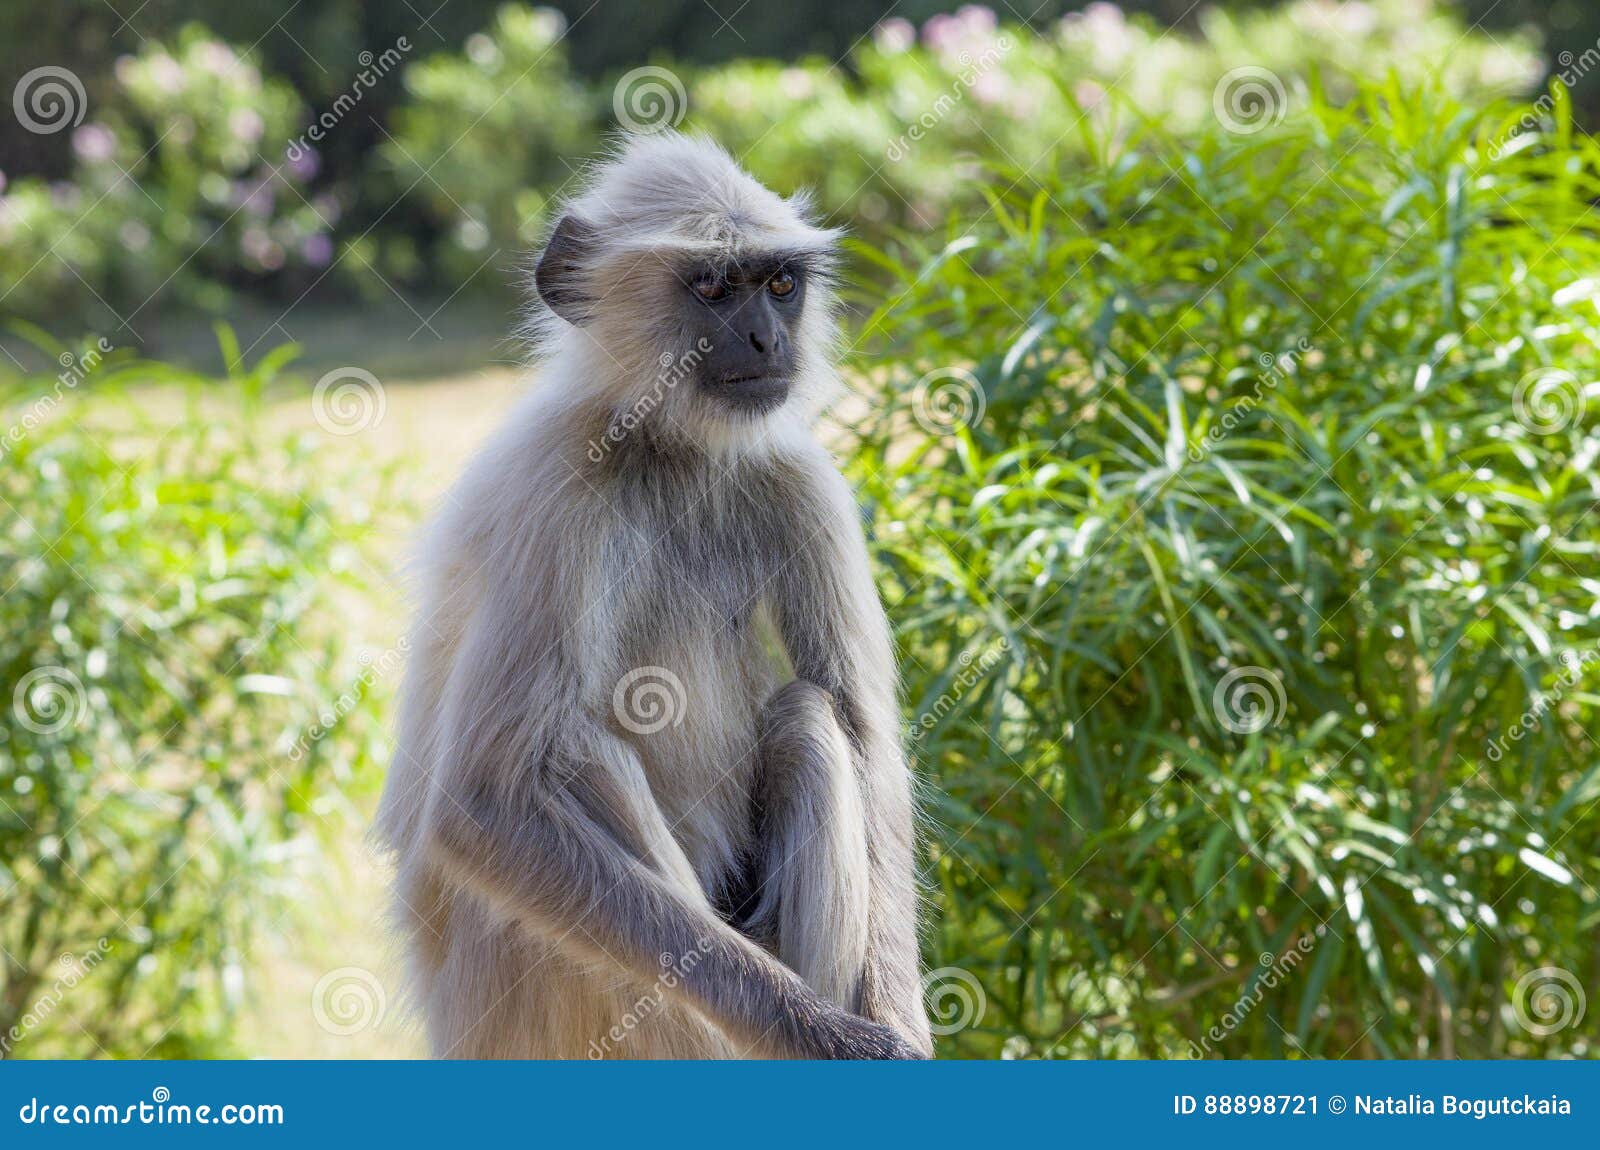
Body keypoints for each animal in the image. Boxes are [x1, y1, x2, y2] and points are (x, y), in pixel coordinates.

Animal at [374, 132, 931, 1060]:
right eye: (711, 288)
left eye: (780, 284)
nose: (765, 338)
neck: (669, 452)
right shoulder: (557, 490)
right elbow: (482, 804)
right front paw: (832, 1038)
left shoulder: (800, 478)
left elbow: (863, 737)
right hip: (525, 998)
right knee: (574, 748)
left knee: (810, 719)